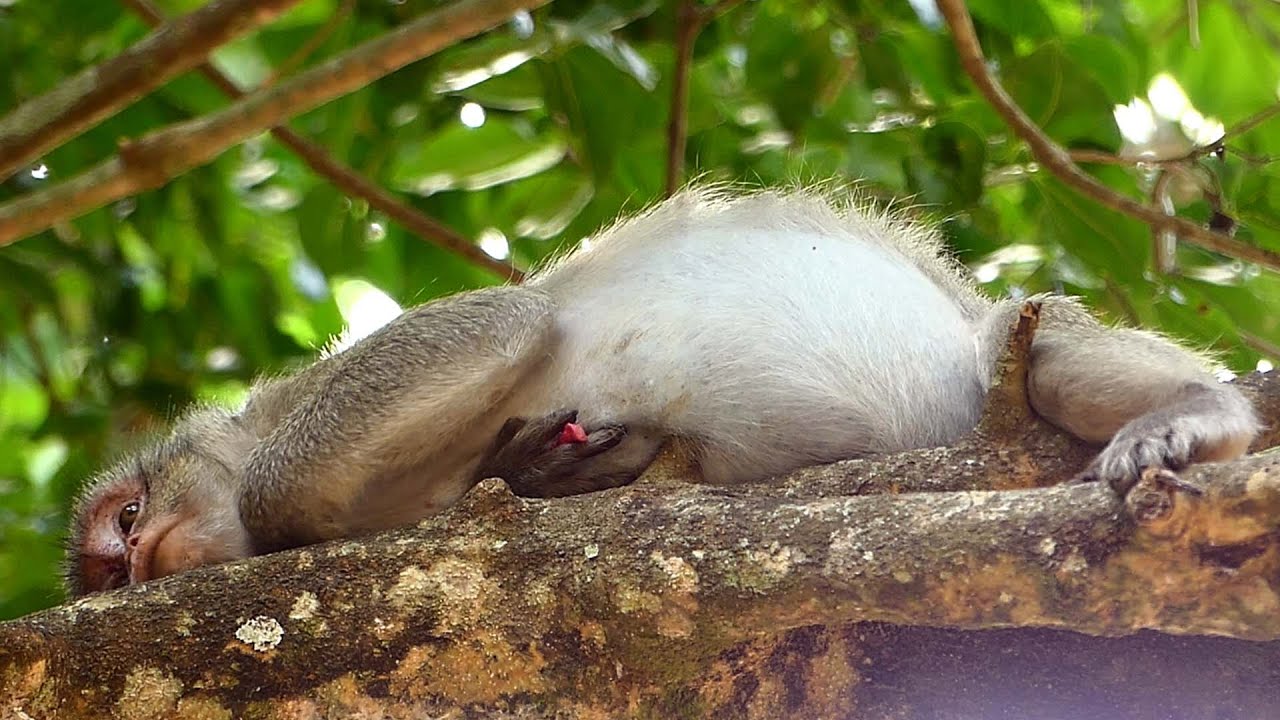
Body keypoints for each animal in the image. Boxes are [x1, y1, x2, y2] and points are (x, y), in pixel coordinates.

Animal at [66, 187, 1259, 596]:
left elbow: (502, 323)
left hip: (990, 358)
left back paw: (1196, 413)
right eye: (104, 572)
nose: (128, 563)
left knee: (1037, 341)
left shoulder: (329, 393)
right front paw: (542, 471)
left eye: (123, 518)